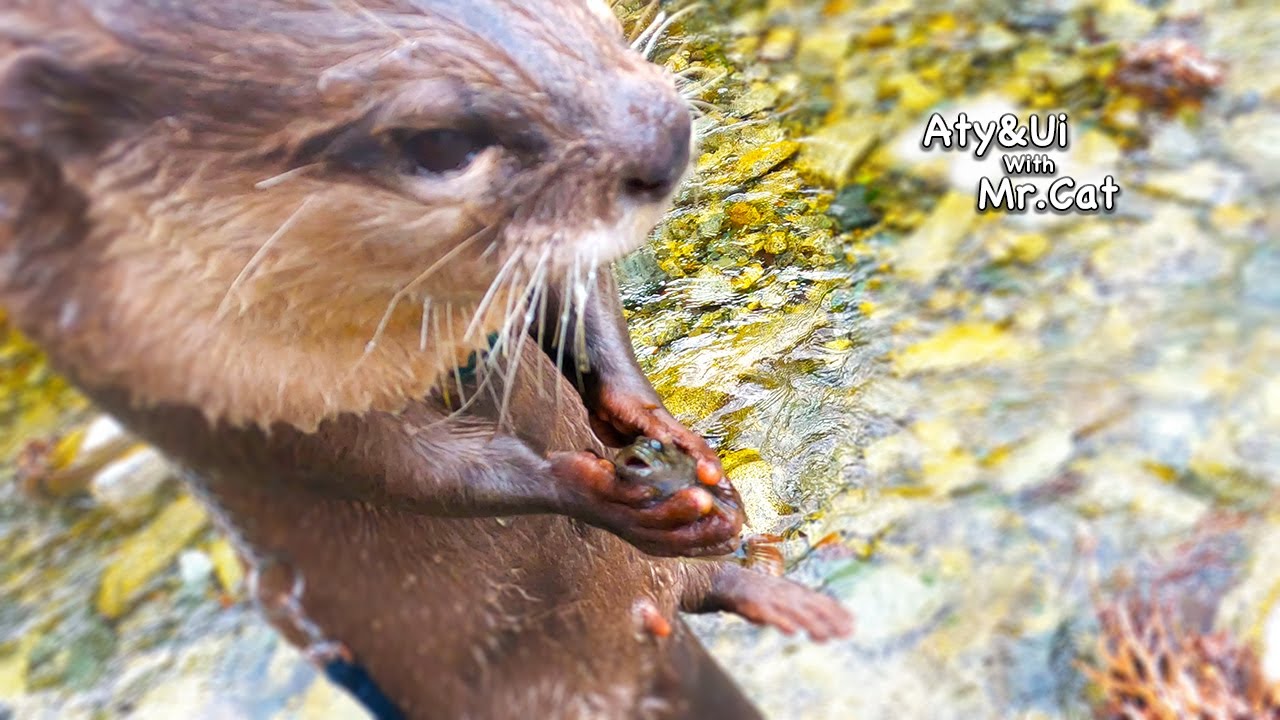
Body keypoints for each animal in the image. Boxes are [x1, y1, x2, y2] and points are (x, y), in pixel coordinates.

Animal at [0, 2, 852, 718]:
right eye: (438, 142)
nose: (666, 134)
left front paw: (670, 436)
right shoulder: (190, 388)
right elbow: (403, 470)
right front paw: (603, 494)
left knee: (708, 584)